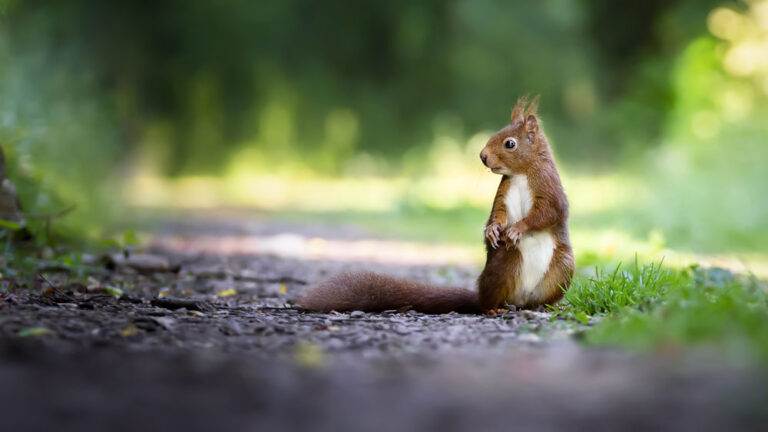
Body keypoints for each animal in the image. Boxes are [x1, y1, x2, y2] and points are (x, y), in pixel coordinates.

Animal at [297, 96, 574, 314]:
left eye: (510, 143)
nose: (482, 156)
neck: (521, 174)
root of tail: (519, 300)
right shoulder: (503, 193)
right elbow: (498, 213)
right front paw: (492, 231)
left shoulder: (549, 189)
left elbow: (547, 213)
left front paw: (517, 229)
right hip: (504, 265)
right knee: (489, 300)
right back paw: (493, 308)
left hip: (562, 268)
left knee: (539, 297)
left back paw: (545, 306)